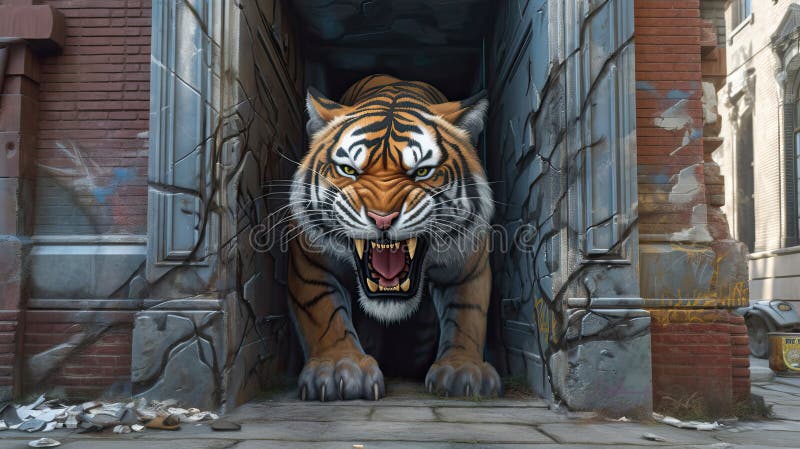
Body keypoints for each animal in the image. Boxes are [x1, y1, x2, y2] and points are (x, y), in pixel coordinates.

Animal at [287, 74, 499, 401]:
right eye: (348, 169)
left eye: (422, 172)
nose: (382, 218)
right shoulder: (311, 262)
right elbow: (324, 314)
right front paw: (338, 369)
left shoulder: (467, 265)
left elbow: (468, 316)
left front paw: (463, 370)